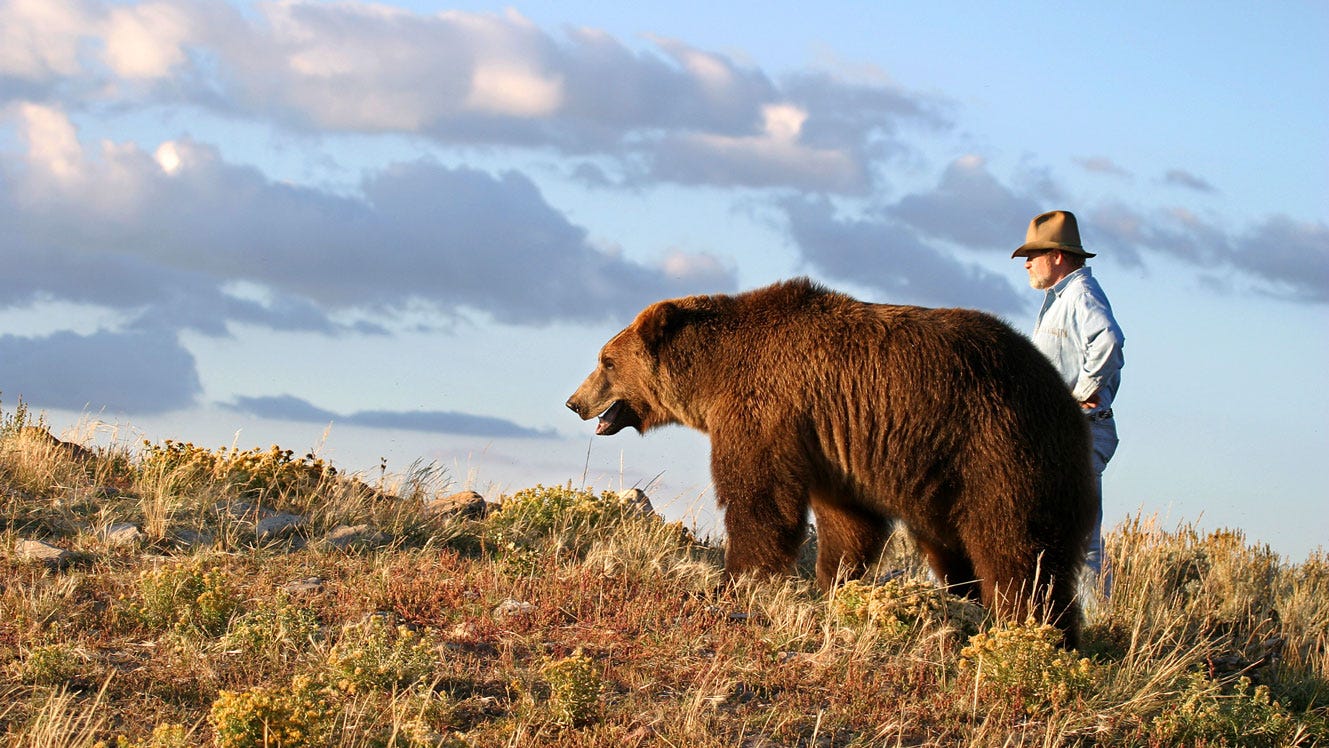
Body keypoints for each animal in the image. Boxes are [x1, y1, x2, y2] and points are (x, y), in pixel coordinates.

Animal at [566, 278, 1096, 647]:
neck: (711, 376)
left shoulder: (763, 410)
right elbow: (848, 522)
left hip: (994, 450)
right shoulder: (832, 446)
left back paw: (1032, 629)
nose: (575, 402)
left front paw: (732, 581)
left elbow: (758, 501)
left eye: (606, 361)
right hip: (949, 477)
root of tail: (1065, 397)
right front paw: (833, 583)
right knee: (957, 549)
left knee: (1016, 548)